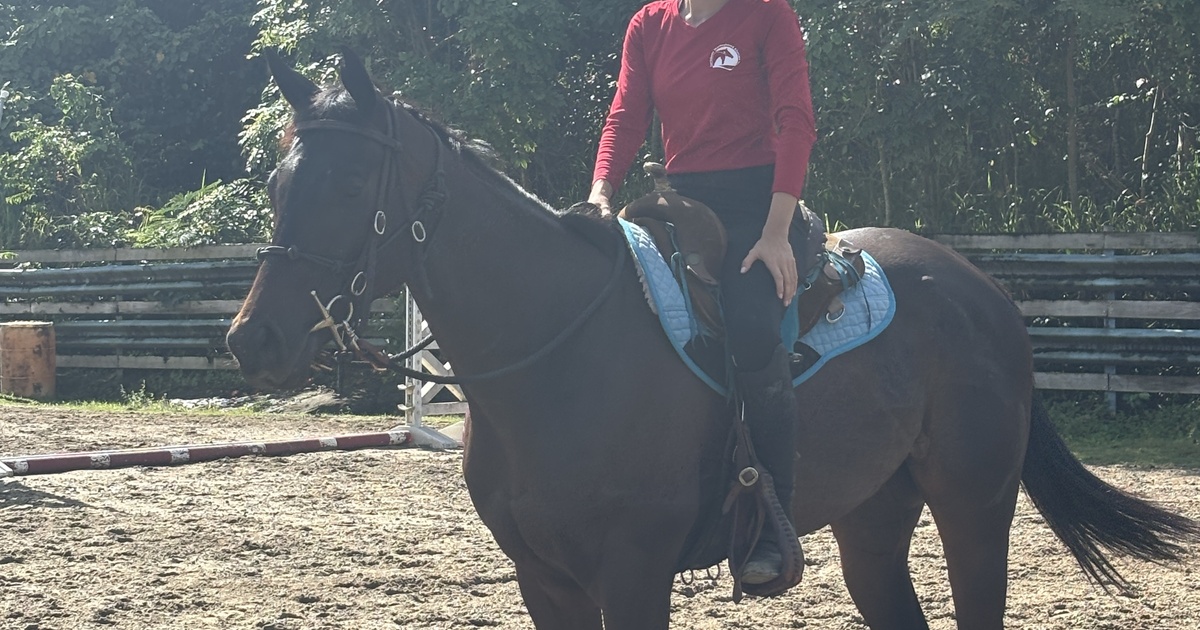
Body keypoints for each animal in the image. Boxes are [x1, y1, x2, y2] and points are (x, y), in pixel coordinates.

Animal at [226, 52, 1199, 630]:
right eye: (275, 182)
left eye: (351, 182)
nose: (253, 339)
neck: (556, 354)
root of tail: (982, 290)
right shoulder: (544, 580)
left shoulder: (632, 574)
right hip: (873, 518)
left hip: (974, 505)